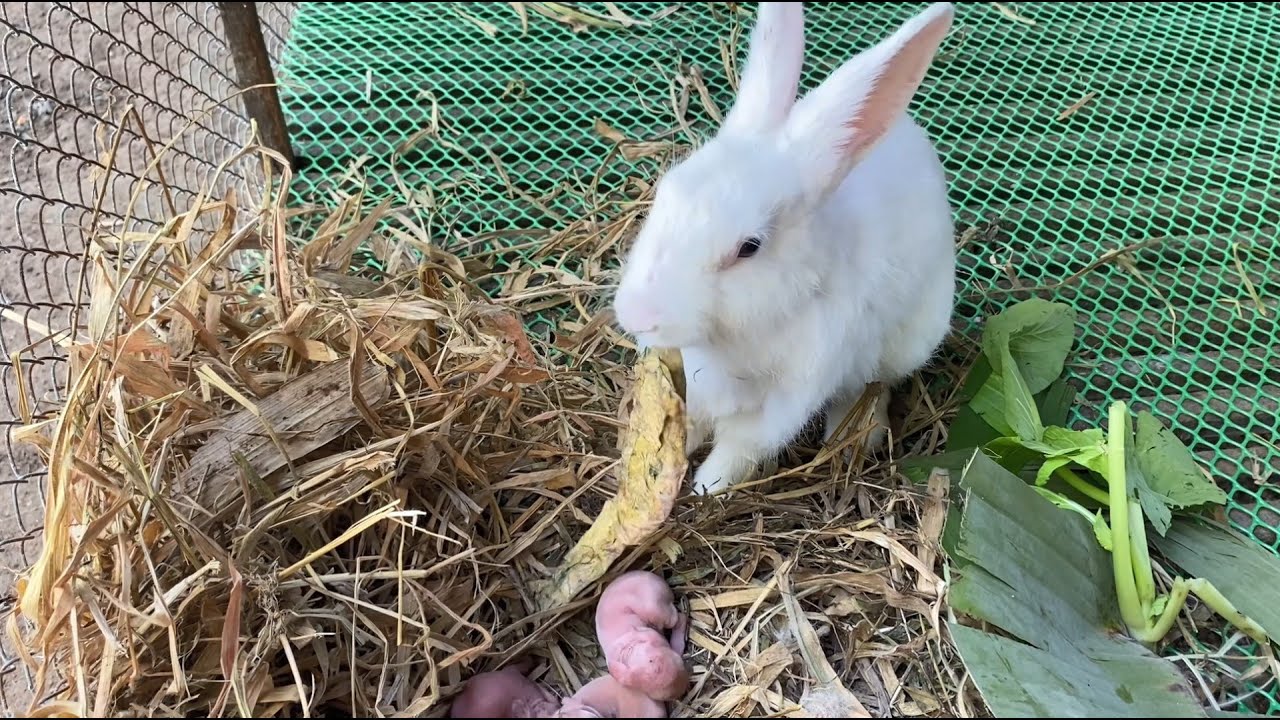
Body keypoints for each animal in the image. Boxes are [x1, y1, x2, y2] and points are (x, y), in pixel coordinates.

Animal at [611, 2, 958, 495]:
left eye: (749, 247)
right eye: (665, 193)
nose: (638, 315)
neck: (731, 341)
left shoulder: (788, 398)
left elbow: (740, 449)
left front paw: (705, 489)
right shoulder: (693, 387)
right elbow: (688, 425)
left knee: (871, 387)